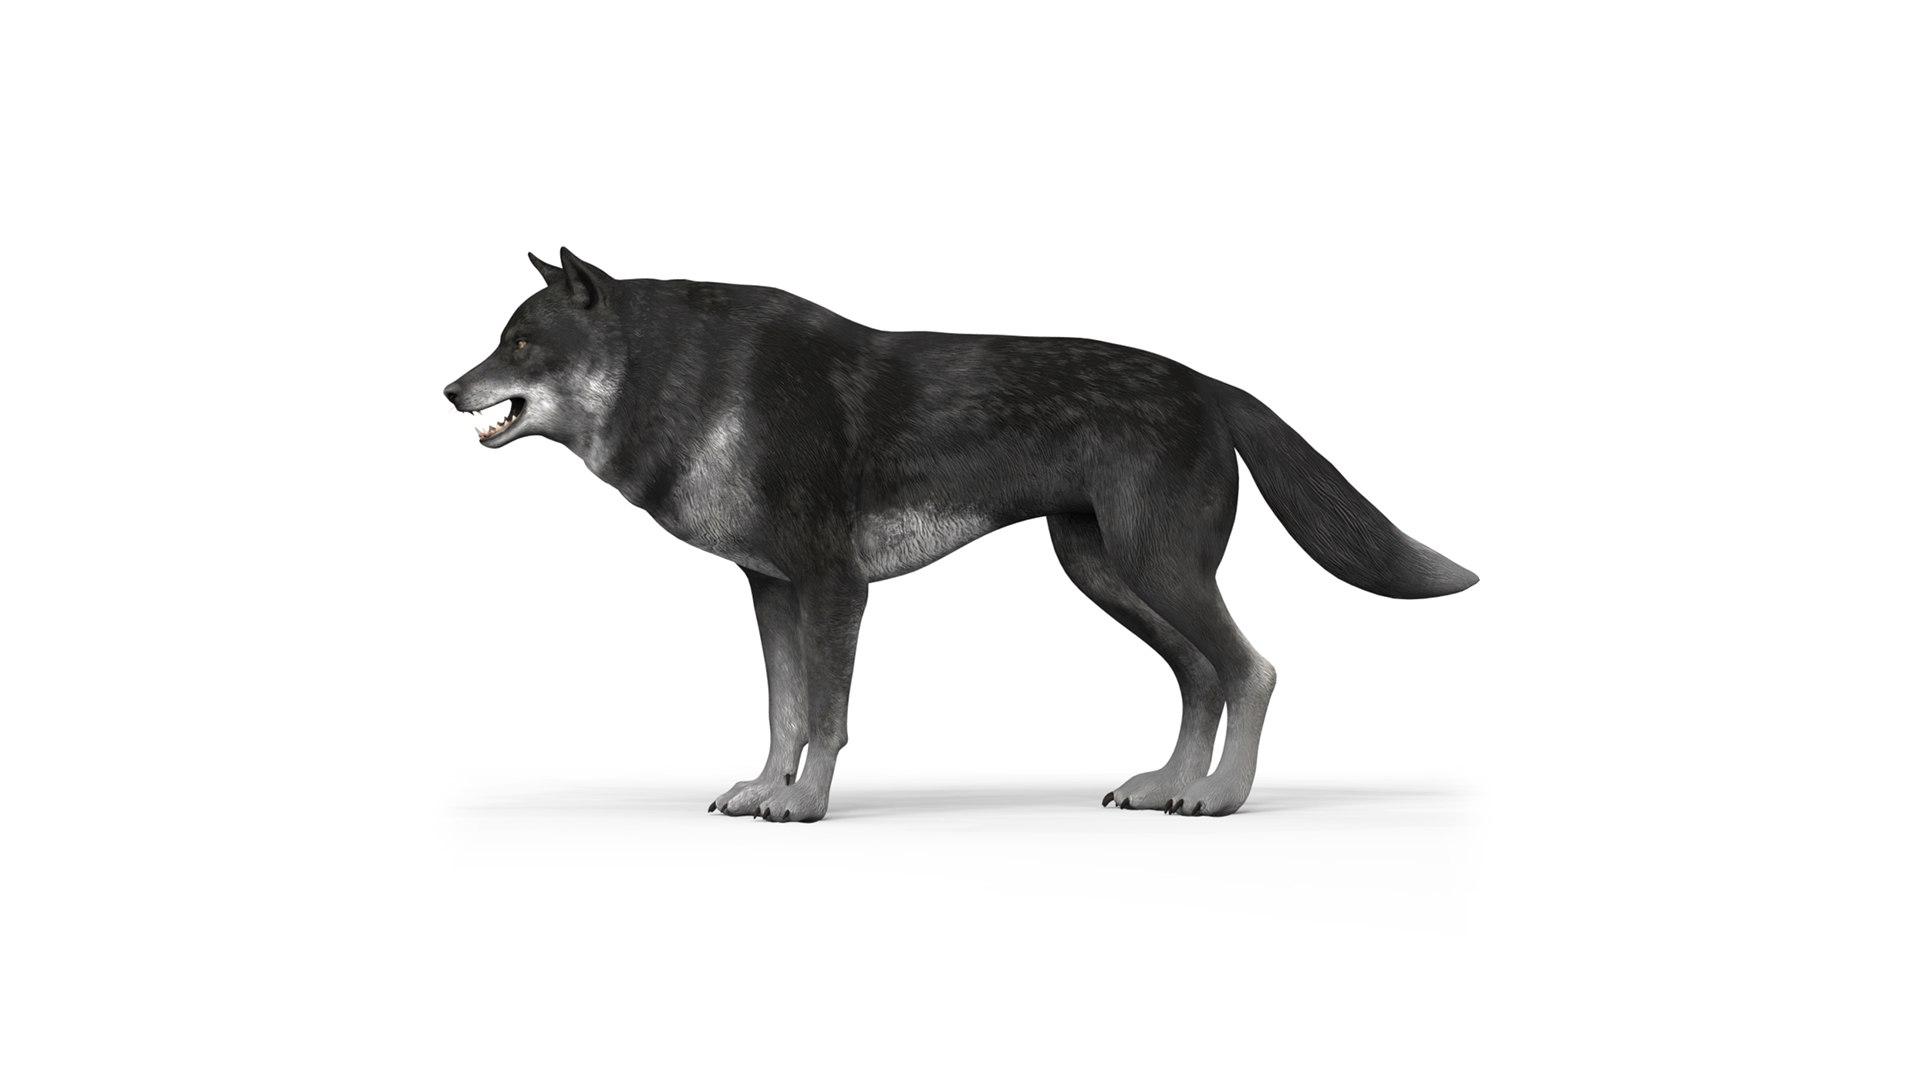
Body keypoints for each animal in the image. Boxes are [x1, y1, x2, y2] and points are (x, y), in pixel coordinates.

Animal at [445, 249, 1477, 822]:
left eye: (521, 344)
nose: (450, 389)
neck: (690, 379)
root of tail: (1211, 386)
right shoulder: (771, 591)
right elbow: (782, 711)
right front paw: (765, 789)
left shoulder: (836, 589)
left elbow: (826, 716)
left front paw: (806, 805)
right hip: (1110, 576)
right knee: (1201, 676)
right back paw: (1167, 785)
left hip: (1156, 570)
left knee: (1249, 670)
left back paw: (1220, 797)